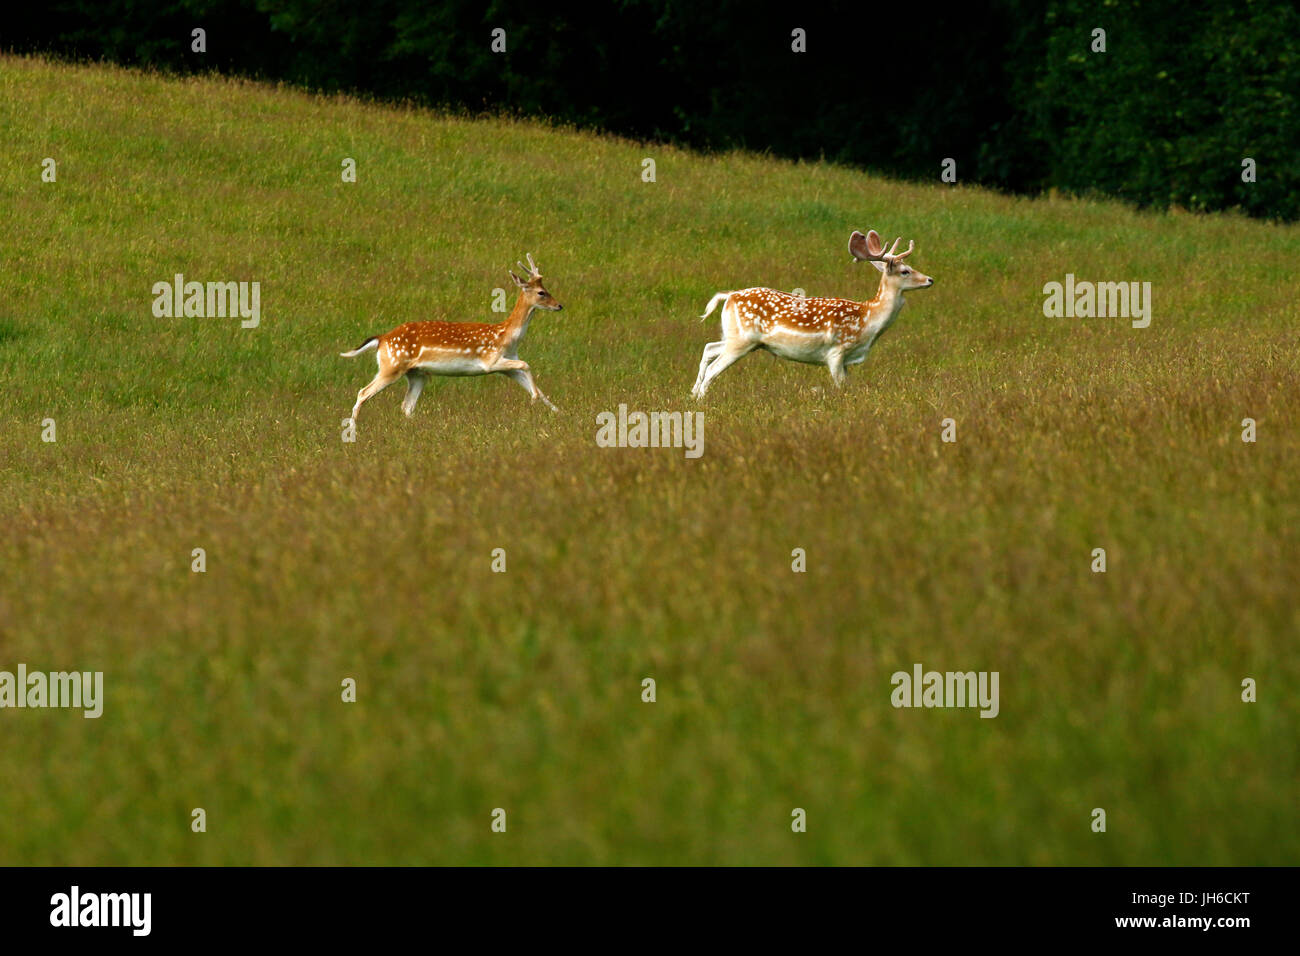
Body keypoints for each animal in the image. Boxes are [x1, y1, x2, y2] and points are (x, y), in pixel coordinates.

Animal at [341, 254, 562, 421]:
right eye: (541, 292)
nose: (559, 305)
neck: (507, 337)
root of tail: (382, 338)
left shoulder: (507, 365)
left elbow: (533, 382)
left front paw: (557, 411)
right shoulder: (490, 360)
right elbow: (527, 365)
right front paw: (535, 400)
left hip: (417, 373)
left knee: (406, 406)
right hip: (392, 366)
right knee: (363, 392)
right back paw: (353, 430)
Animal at [691, 230, 934, 397]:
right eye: (905, 271)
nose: (930, 279)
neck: (867, 321)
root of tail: (729, 296)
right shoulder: (836, 351)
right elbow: (841, 387)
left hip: (738, 337)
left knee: (708, 348)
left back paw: (693, 393)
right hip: (741, 341)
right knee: (713, 368)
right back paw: (702, 401)